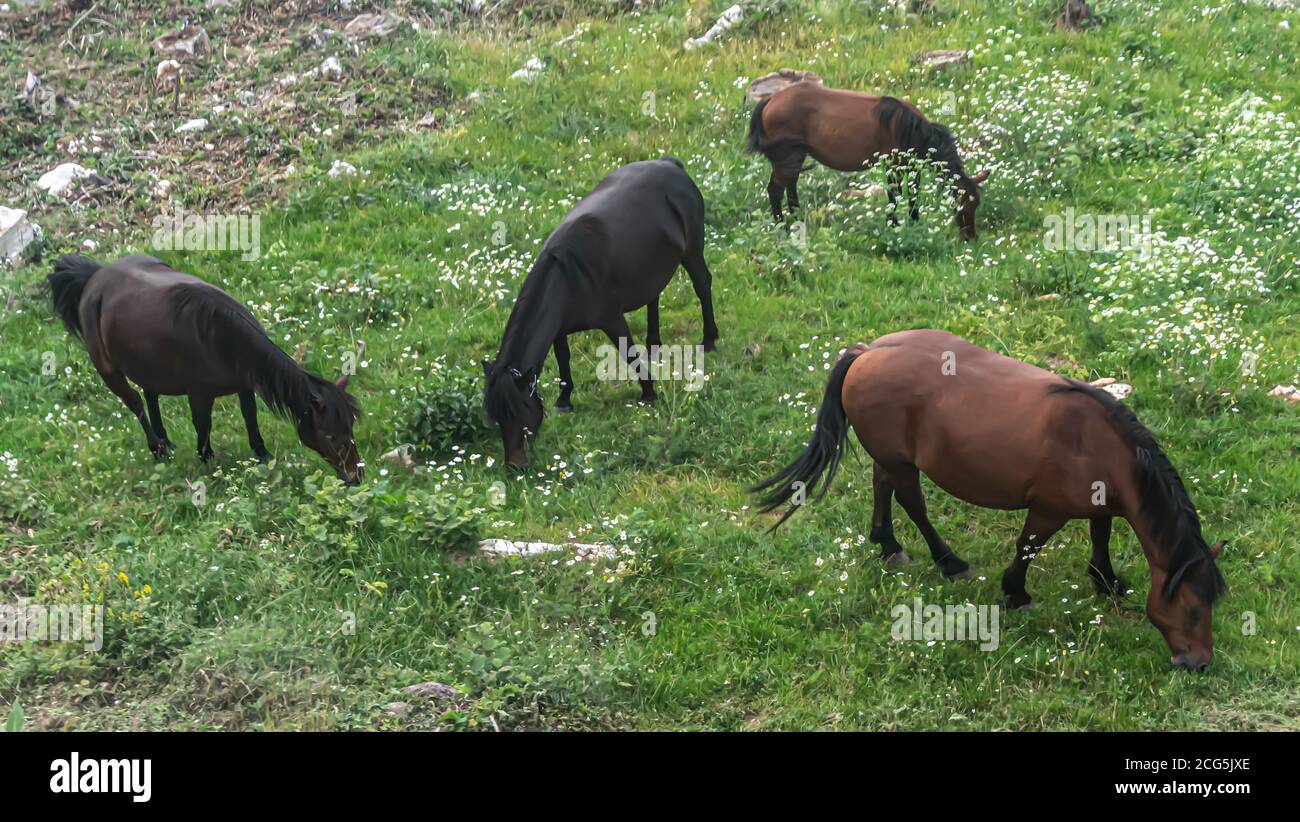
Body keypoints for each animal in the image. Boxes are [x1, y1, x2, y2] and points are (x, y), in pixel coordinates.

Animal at [48, 254, 364, 484]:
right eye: (330, 435)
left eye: (350, 426)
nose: (356, 475)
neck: (220, 337)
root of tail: (95, 276)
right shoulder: (199, 394)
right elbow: (203, 426)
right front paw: (208, 461)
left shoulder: (244, 385)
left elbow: (250, 418)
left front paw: (262, 455)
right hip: (108, 370)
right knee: (135, 402)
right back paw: (157, 447)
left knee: (150, 394)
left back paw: (165, 441)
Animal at [483, 156, 720, 469]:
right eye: (497, 417)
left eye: (520, 412)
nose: (514, 465)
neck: (568, 276)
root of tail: (670, 164)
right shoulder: (559, 329)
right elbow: (563, 361)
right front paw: (564, 400)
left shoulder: (612, 319)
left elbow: (629, 355)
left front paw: (649, 394)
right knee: (653, 297)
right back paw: (654, 346)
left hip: (692, 250)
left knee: (703, 285)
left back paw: (709, 339)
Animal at [745, 82, 989, 239]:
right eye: (963, 206)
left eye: (977, 204)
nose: (971, 238)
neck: (910, 128)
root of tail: (770, 99)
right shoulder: (892, 164)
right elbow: (894, 196)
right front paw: (894, 225)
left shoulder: (911, 166)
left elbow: (913, 196)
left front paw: (914, 223)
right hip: (788, 156)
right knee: (776, 190)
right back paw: (782, 227)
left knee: (789, 188)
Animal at [751, 329, 1226, 670]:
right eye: (1191, 610)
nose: (1199, 663)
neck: (1100, 445)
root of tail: (867, 352)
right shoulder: (1048, 510)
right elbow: (1027, 547)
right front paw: (1016, 593)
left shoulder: (1100, 504)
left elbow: (1100, 538)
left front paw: (1106, 583)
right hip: (904, 465)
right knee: (913, 504)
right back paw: (948, 562)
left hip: (890, 458)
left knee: (881, 486)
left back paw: (887, 544)